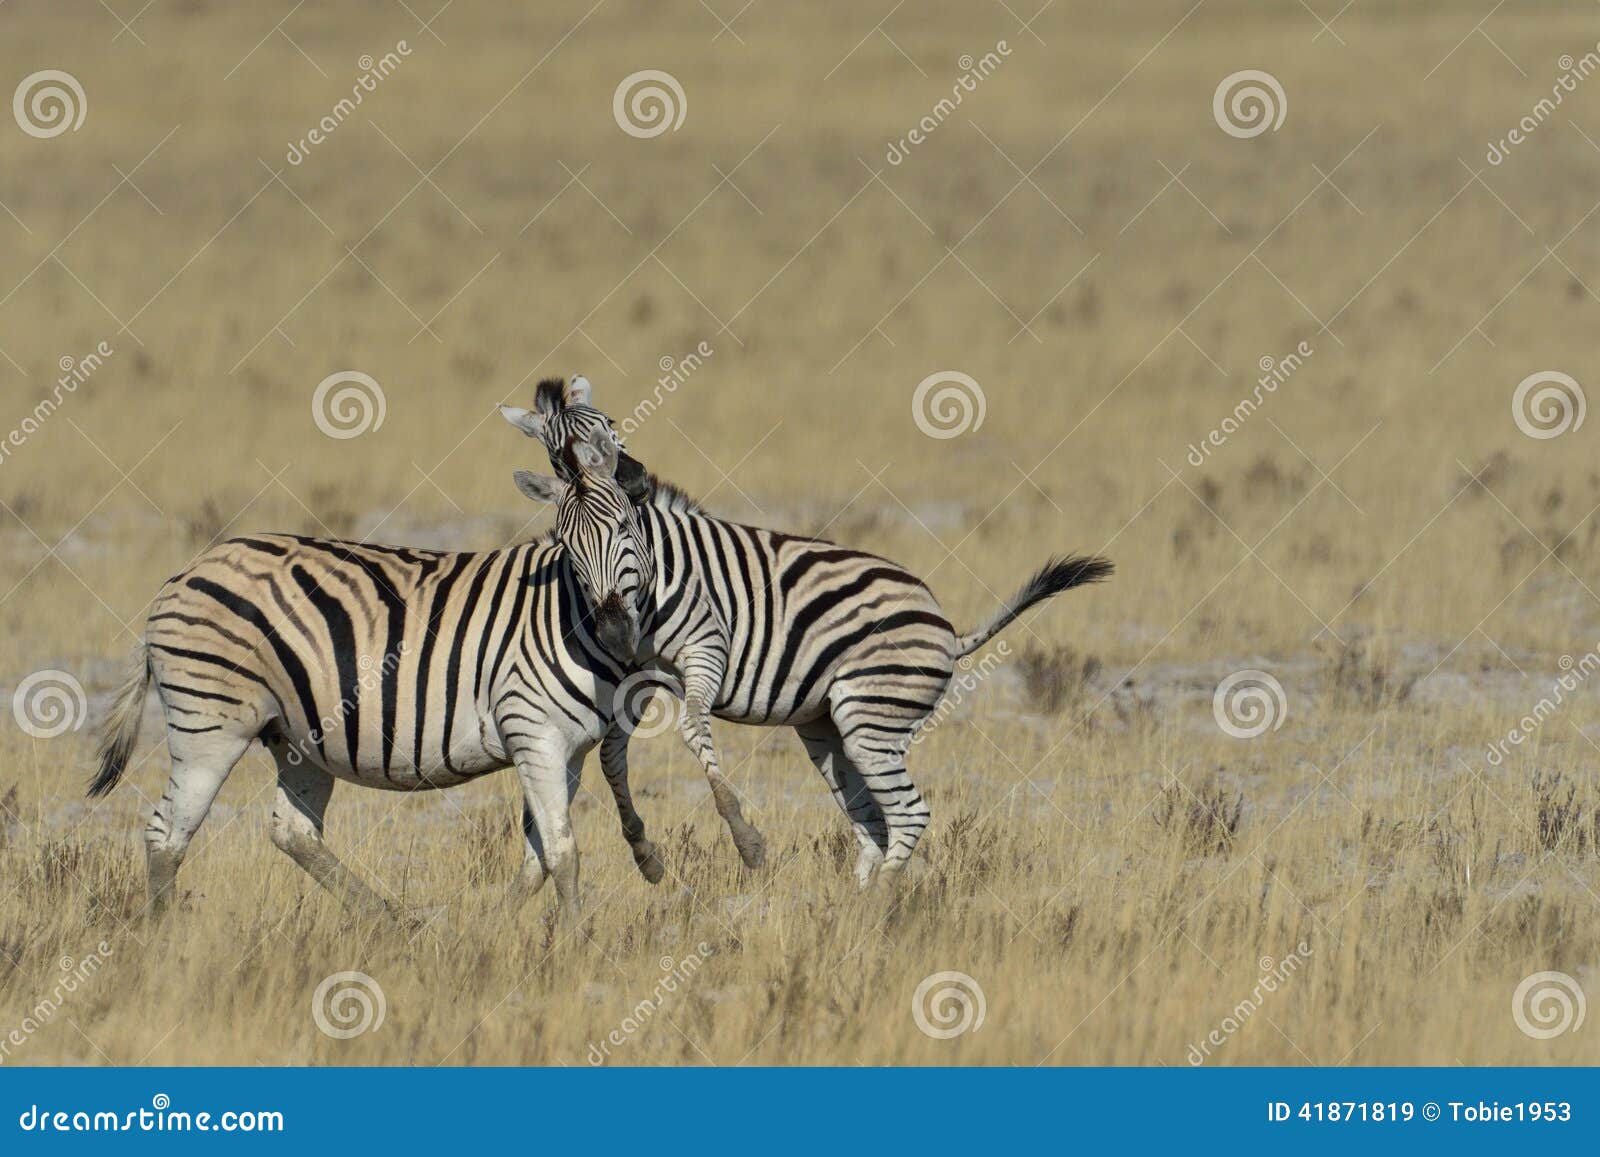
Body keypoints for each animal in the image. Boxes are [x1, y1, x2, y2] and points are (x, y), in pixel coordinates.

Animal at [88, 424, 664, 921]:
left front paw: (492, 928)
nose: (615, 630)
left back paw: (386, 921)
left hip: (296, 736)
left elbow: (542, 854)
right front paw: (572, 942)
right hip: (210, 723)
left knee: (293, 831)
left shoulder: (567, 750)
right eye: (565, 546)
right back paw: (164, 939)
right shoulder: (534, 732)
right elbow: (563, 853)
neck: (561, 611)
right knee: (167, 834)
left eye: (625, 528)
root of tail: (181, 576)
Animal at [504, 380, 1113, 886]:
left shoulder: (707, 649)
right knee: (873, 820)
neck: (658, 566)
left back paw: (879, 909)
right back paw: (853, 909)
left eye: (610, 424)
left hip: (870, 718)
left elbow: (693, 730)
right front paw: (644, 852)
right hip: (832, 727)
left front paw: (745, 840)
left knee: (908, 813)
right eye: (558, 454)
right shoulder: (642, 672)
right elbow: (612, 753)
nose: (628, 478)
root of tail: (947, 627)